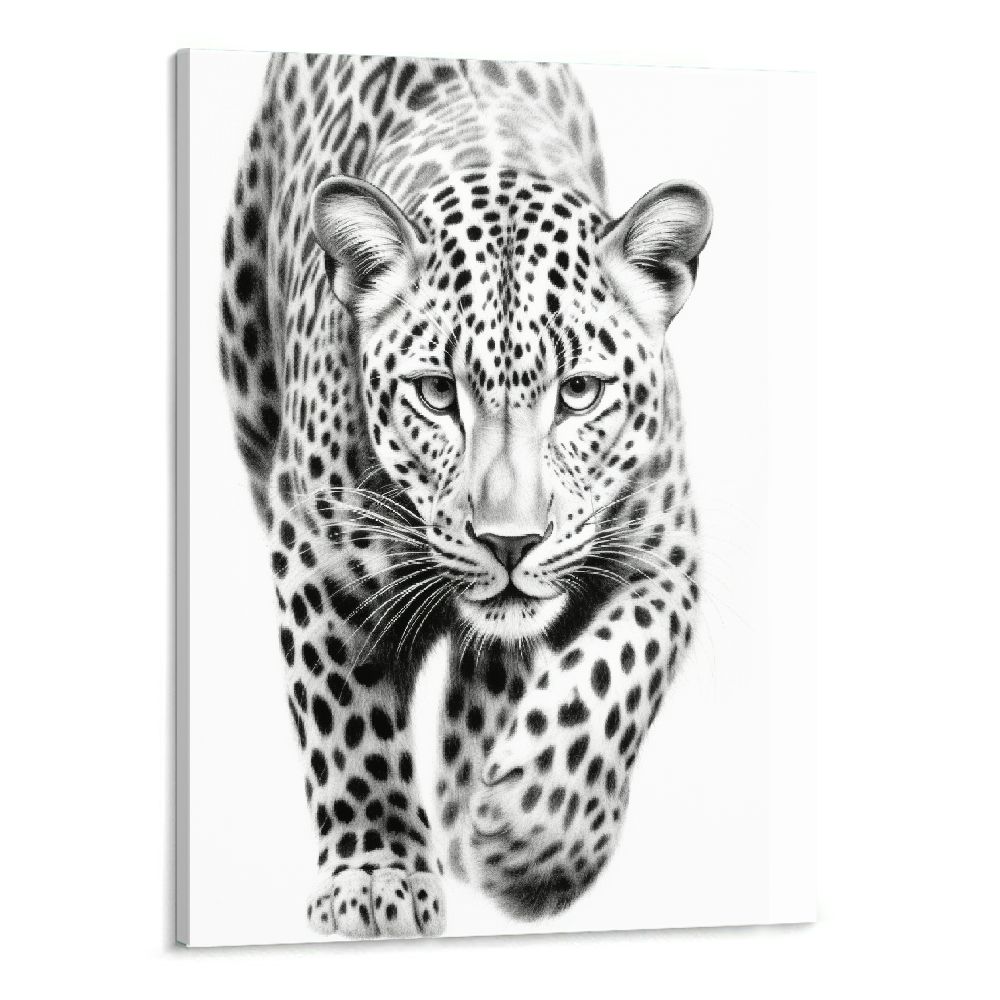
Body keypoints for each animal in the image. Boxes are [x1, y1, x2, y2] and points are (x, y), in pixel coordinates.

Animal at [218, 52, 712, 939]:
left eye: (579, 393)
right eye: (436, 392)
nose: (509, 542)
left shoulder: (667, 561)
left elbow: (614, 671)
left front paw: (536, 842)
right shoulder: (313, 557)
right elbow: (348, 722)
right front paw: (376, 872)